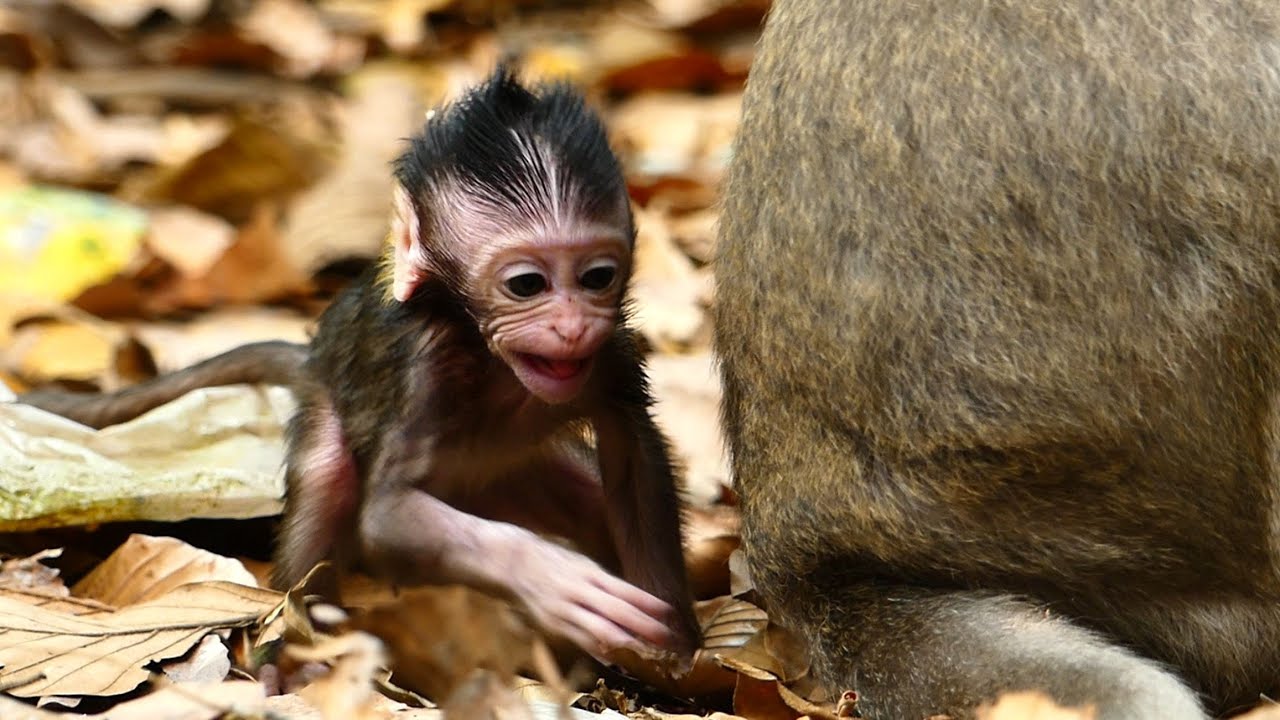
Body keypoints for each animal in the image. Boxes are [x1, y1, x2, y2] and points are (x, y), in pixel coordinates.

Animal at [18, 68, 699, 664]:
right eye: (527, 284)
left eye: (597, 277)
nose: (573, 326)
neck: (490, 356)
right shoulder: (424, 372)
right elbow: (387, 515)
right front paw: (553, 581)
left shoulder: (610, 357)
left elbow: (633, 454)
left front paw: (676, 643)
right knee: (329, 476)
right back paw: (296, 655)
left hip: (515, 477)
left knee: (584, 493)